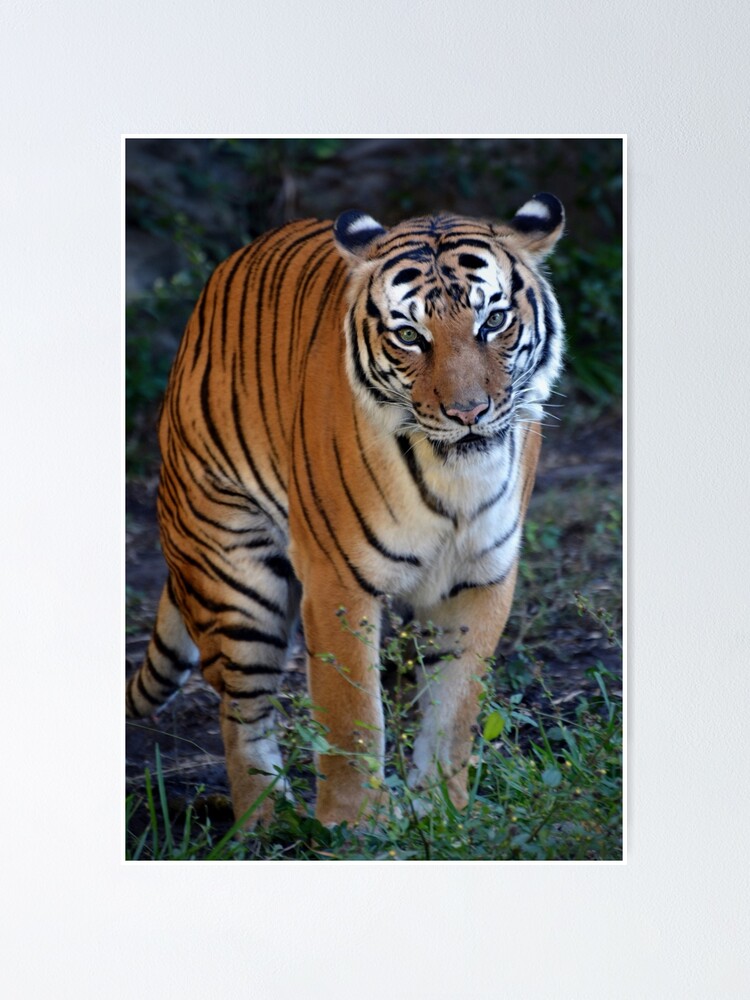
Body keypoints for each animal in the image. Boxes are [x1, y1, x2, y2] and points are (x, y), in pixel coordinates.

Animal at [126, 193, 566, 828]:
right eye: (409, 335)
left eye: (493, 322)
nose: (468, 414)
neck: (455, 477)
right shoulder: (338, 580)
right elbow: (351, 711)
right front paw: (357, 825)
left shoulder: (481, 579)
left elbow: (455, 709)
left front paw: (441, 811)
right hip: (236, 578)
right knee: (240, 713)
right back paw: (263, 824)